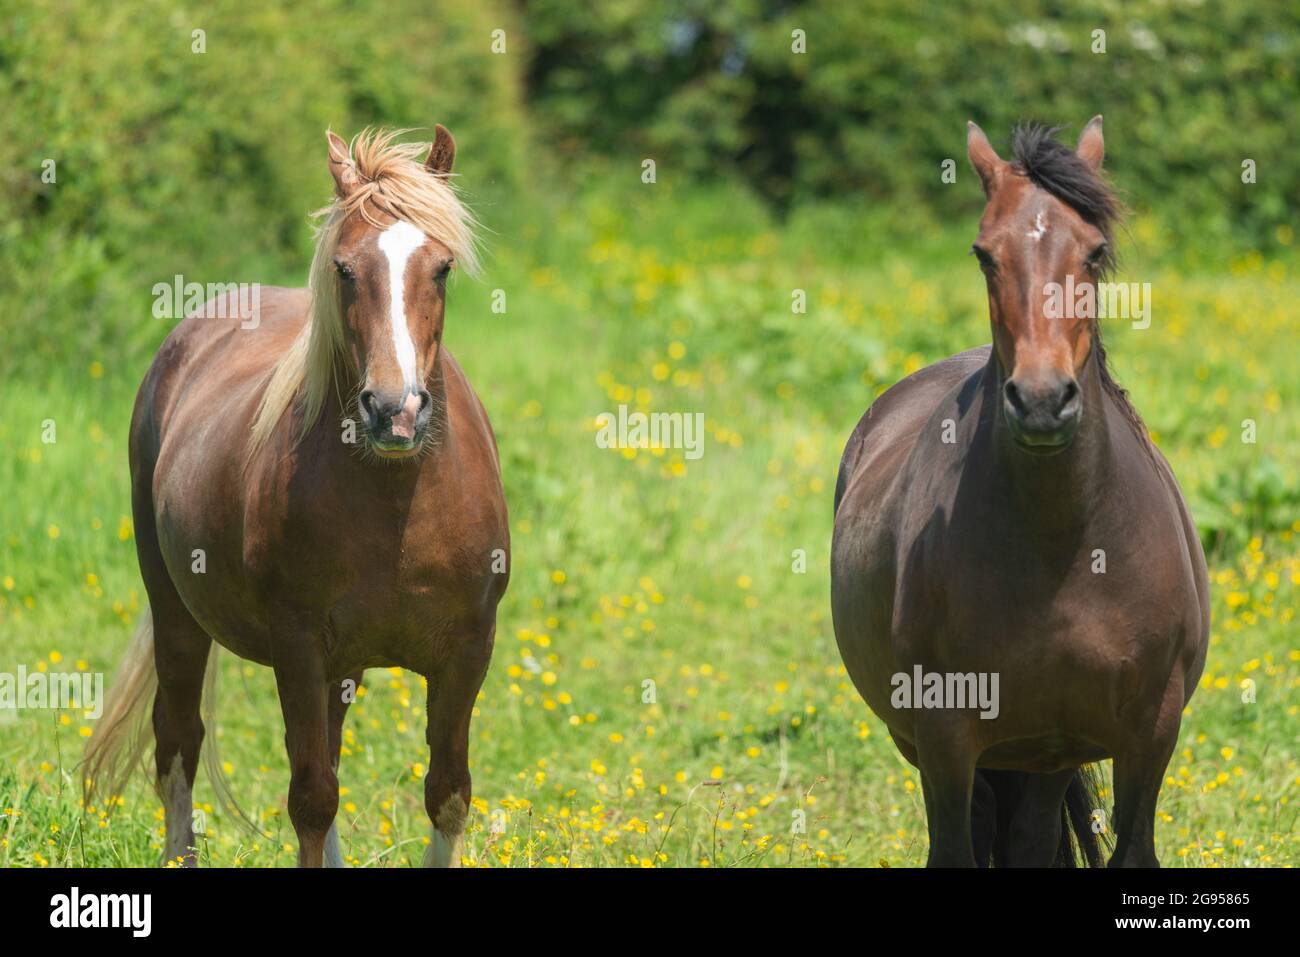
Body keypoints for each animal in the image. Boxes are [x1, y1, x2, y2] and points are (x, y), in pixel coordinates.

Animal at [84, 126, 510, 868]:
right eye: (344, 269)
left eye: (442, 268)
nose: (393, 411)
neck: (398, 505)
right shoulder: (299, 645)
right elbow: (311, 798)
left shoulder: (466, 651)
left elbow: (447, 793)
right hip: (176, 612)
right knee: (179, 739)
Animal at [830, 118, 1209, 867]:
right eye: (984, 255)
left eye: (1094, 252)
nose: (1041, 402)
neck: (1062, 547)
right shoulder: (945, 736)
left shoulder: (1151, 733)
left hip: (1047, 753)